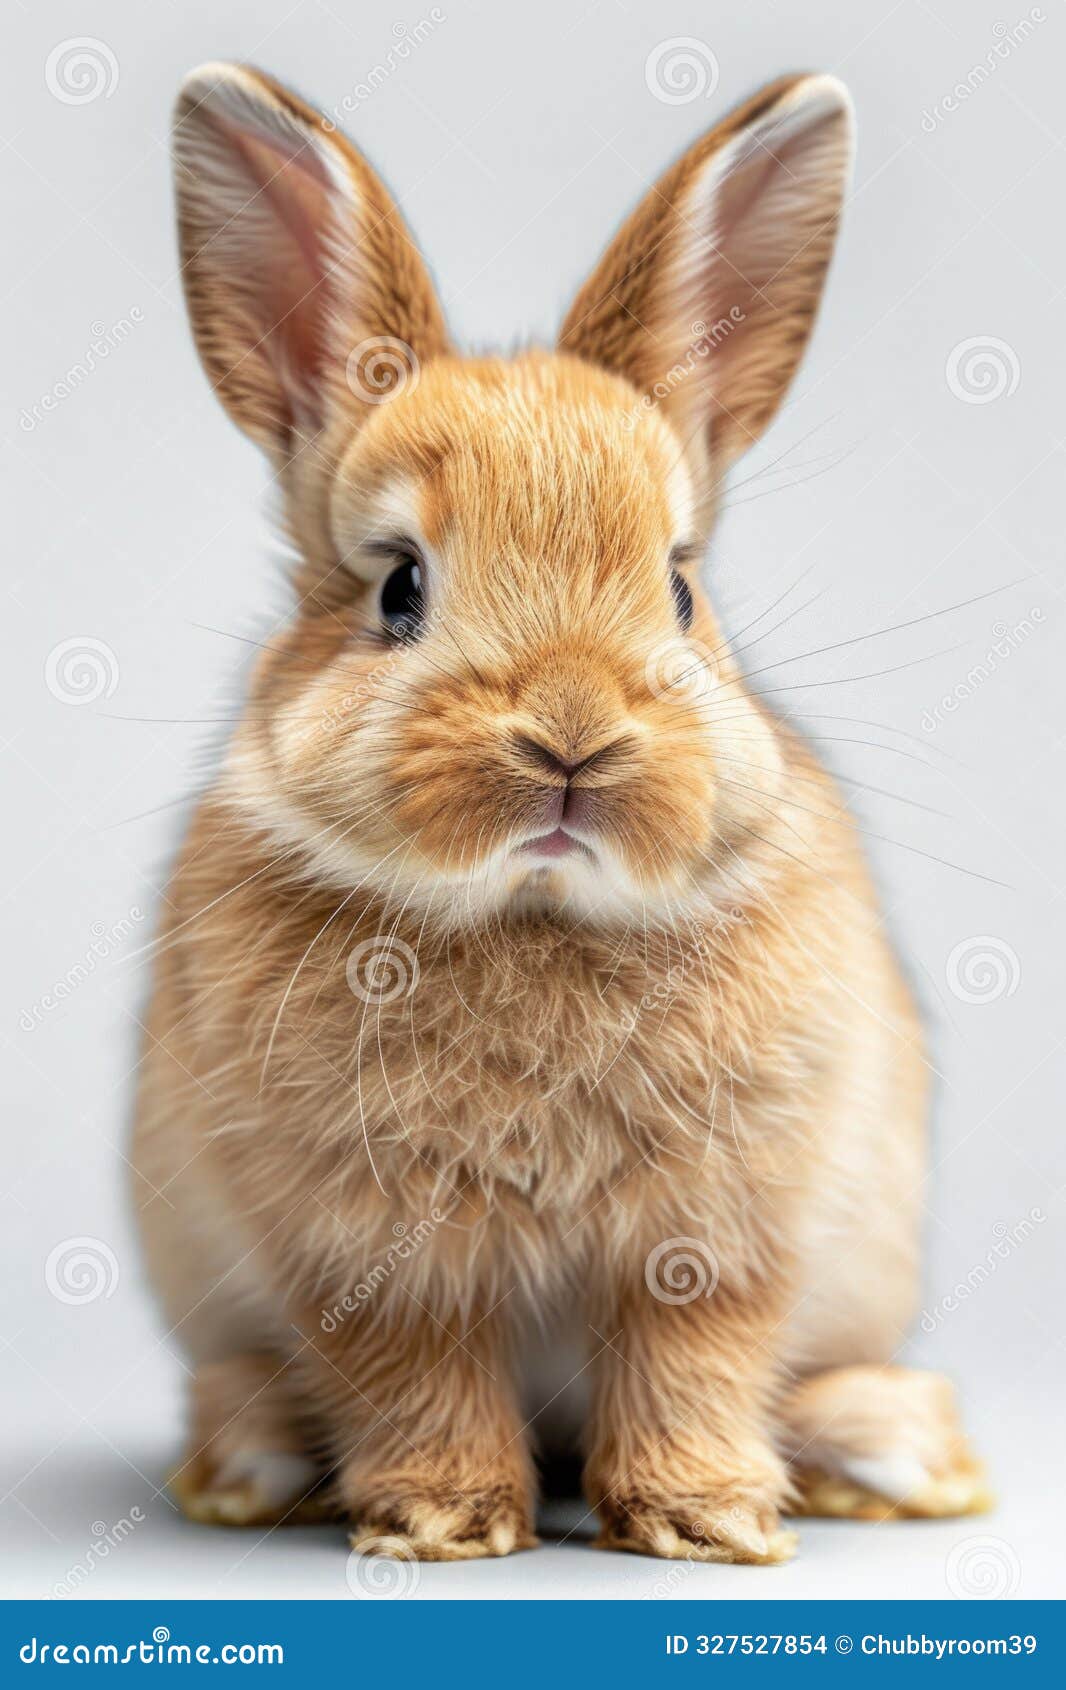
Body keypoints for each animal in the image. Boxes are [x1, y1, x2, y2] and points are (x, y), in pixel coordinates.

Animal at [131, 62, 990, 1565]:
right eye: (398, 586)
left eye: (681, 587)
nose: (571, 739)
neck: (533, 909)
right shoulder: (372, 1250)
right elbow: (416, 1368)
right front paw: (441, 1519)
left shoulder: (717, 1236)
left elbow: (692, 1355)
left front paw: (706, 1523)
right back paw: (248, 1462)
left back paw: (890, 1454)